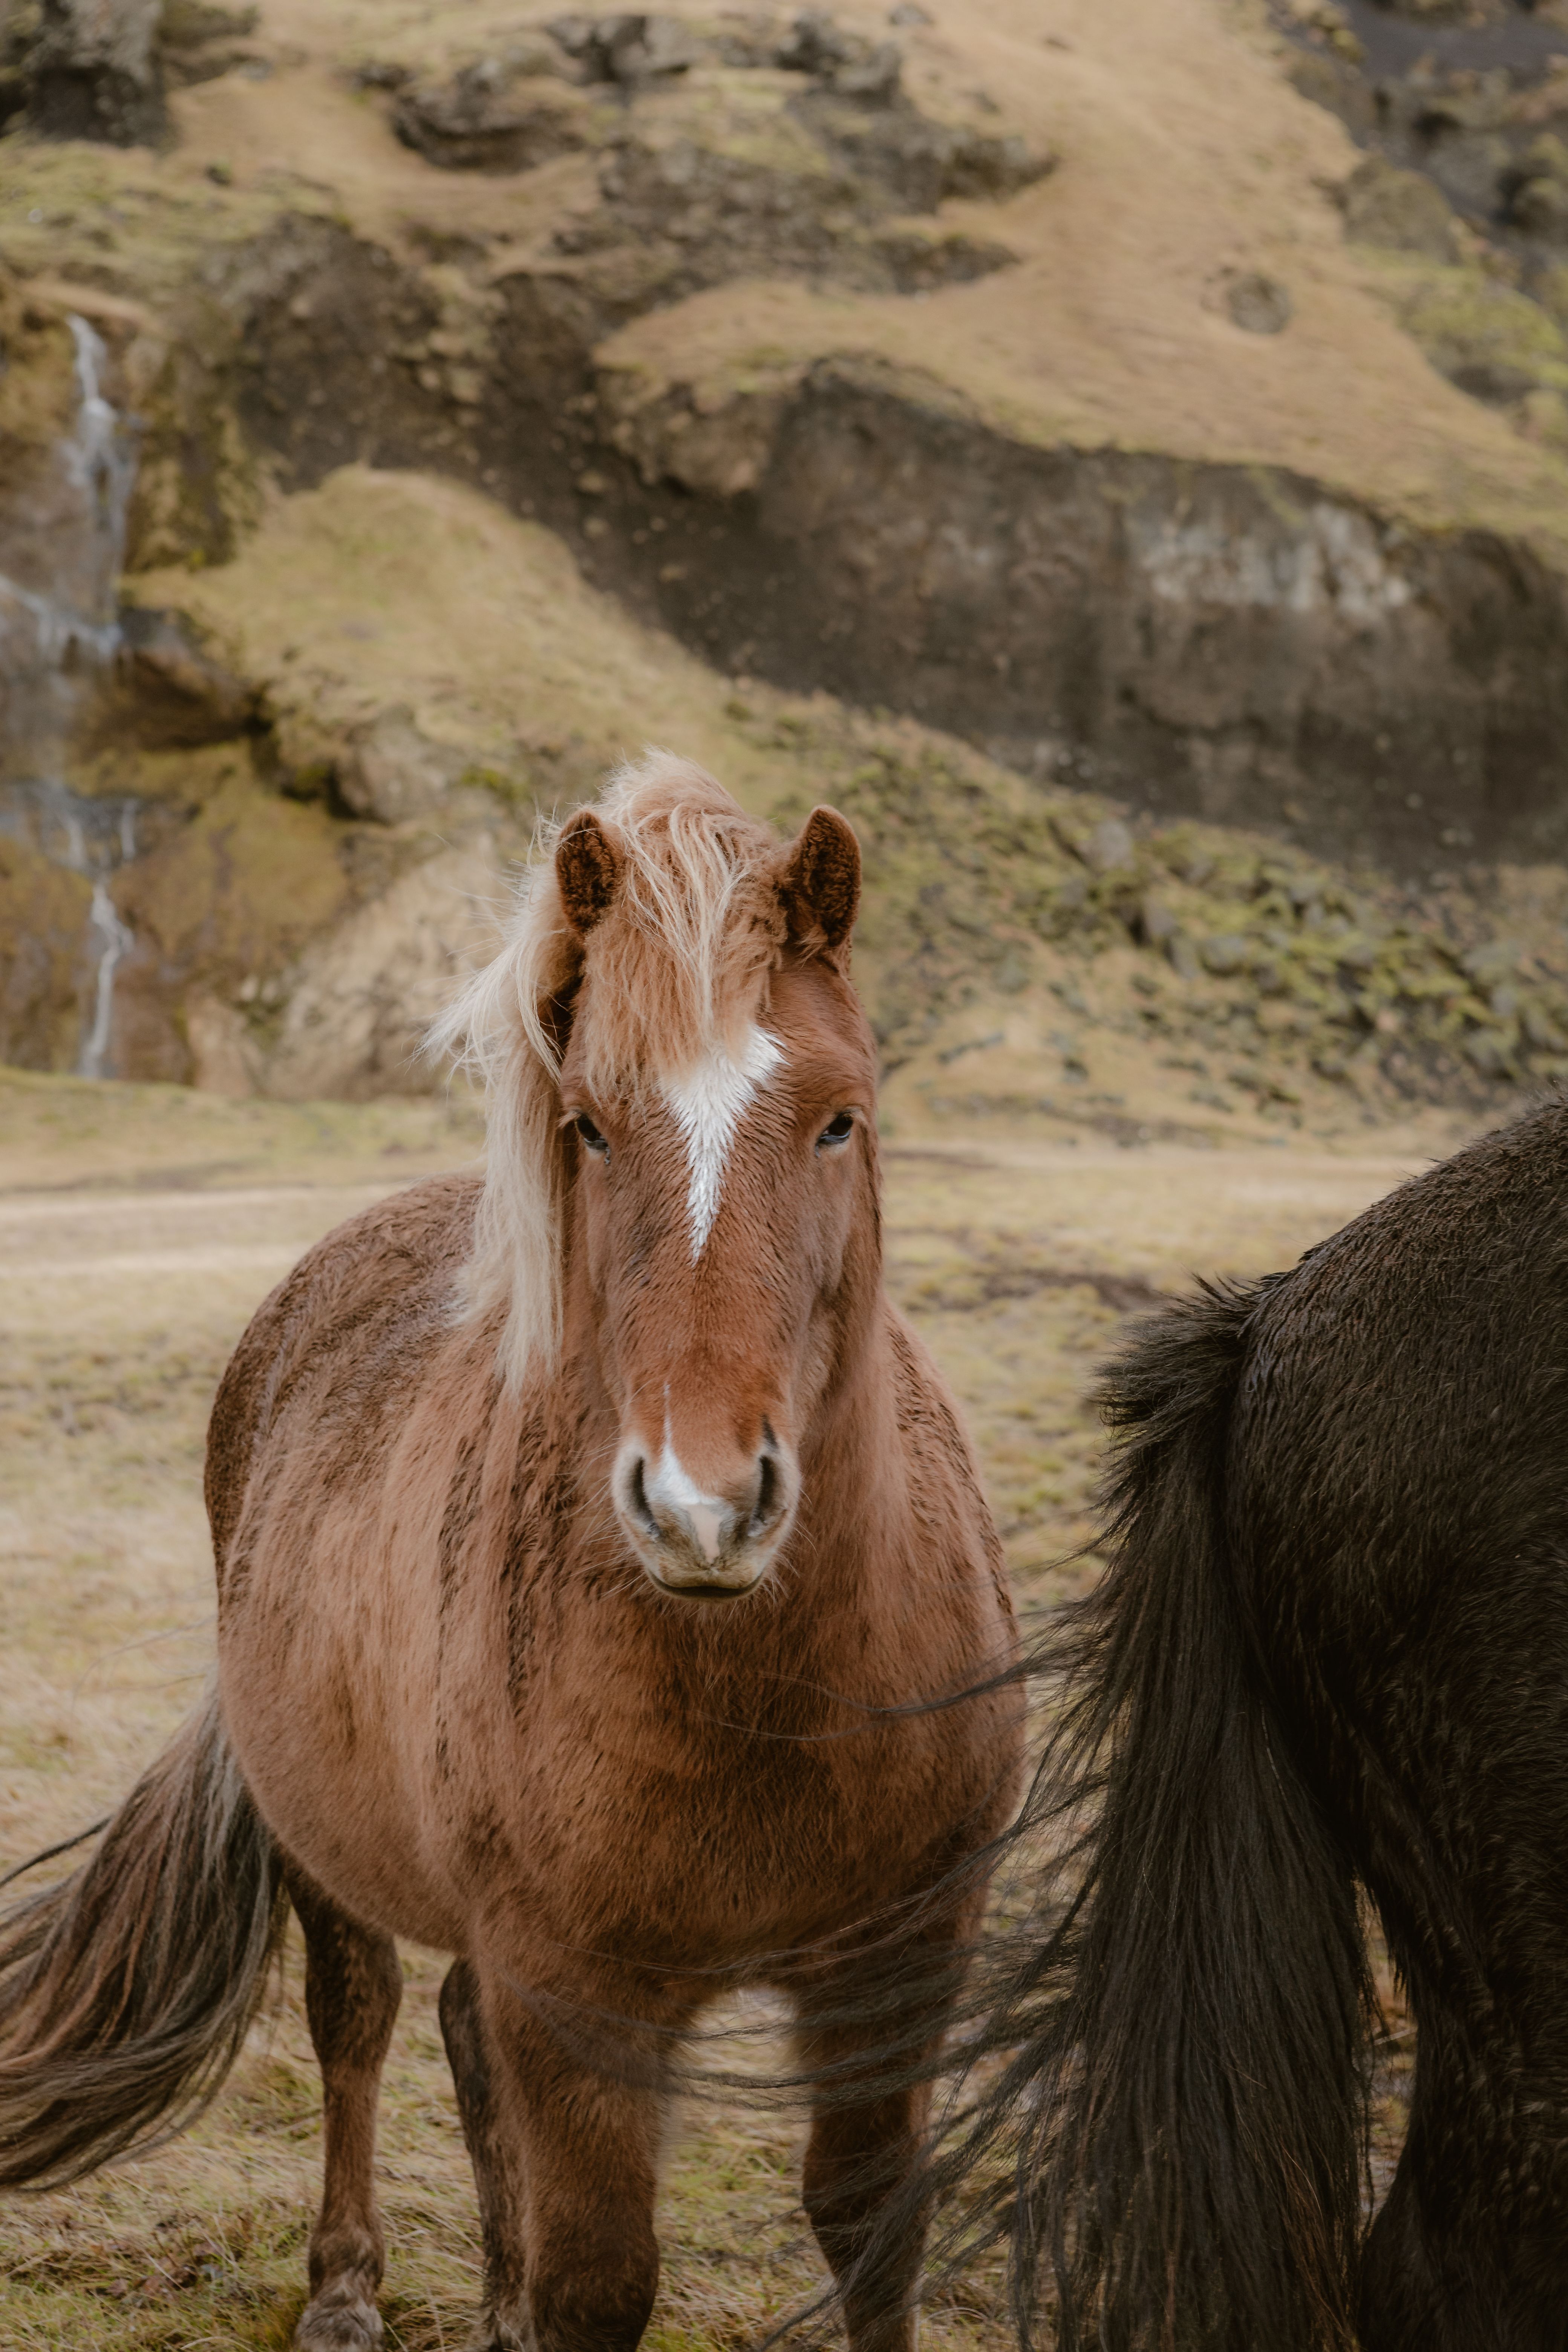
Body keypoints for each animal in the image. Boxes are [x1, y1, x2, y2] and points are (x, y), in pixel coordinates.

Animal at [0, 754, 1023, 2352]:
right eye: (590, 1124)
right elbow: (598, 2277)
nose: (703, 1504)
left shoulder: (901, 1964)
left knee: (461, 2045)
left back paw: (489, 2301)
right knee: (359, 2020)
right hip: (331, 1846)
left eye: (840, 1120)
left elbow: (871, 2233)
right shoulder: (577, 2000)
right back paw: (347, 2289)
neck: (771, 1695)